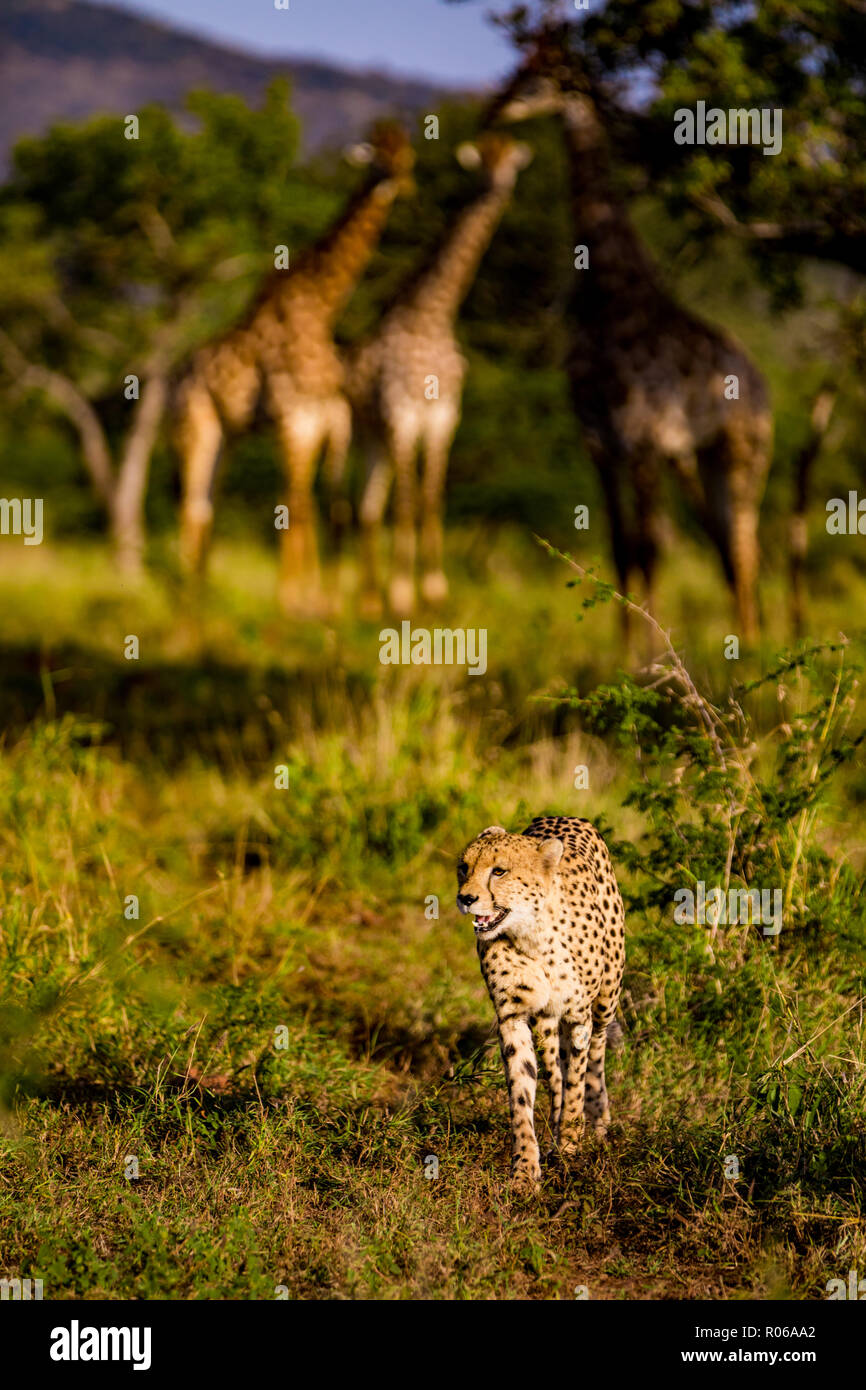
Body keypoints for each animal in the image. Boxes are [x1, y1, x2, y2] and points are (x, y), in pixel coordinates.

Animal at [175, 122, 415, 611]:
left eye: (407, 154)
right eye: (377, 156)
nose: (401, 181)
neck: (320, 307)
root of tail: (178, 375)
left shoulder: (324, 416)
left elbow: (316, 503)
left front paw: (313, 599)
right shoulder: (294, 412)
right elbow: (295, 501)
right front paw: (292, 600)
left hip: (227, 433)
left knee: (207, 503)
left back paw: (202, 591)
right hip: (195, 422)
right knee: (191, 502)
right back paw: (185, 596)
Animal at [344, 133, 532, 616]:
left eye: (510, 163)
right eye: (482, 162)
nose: (497, 187)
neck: (429, 317)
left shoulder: (444, 417)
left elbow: (432, 499)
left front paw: (434, 591)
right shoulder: (403, 415)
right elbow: (409, 503)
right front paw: (402, 595)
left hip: (381, 439)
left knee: (371, 504)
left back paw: (371, 598)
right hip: (365, 431)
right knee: (370, 506)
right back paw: (370, 601)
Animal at [456, 815, 626, 1192]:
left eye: (499, 871)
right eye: (464, 867)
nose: (465, 898)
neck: (531, 934)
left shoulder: (578, 1017)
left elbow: (577, 1081)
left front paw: (571, 1145)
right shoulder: (514, 1016)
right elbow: (522, 1095)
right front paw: (525, 1171)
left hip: (606, 999)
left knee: (596, 1056)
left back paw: (597, 1123)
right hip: (546, 1023)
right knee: (554, 1074)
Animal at [487, 38, 773, 644]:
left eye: (541, 78)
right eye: (516, 68)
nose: (494, 110)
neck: (609, 297)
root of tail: (760, 382)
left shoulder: (643, 439)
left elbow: (649, 548)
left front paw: (650, 649)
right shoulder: (599, 441)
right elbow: (622, 548)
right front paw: (622, 648)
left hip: (746, 450)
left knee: (745, 545)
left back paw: (756, 646)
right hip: (702, 456)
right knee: (728, 545)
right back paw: (747, 640)